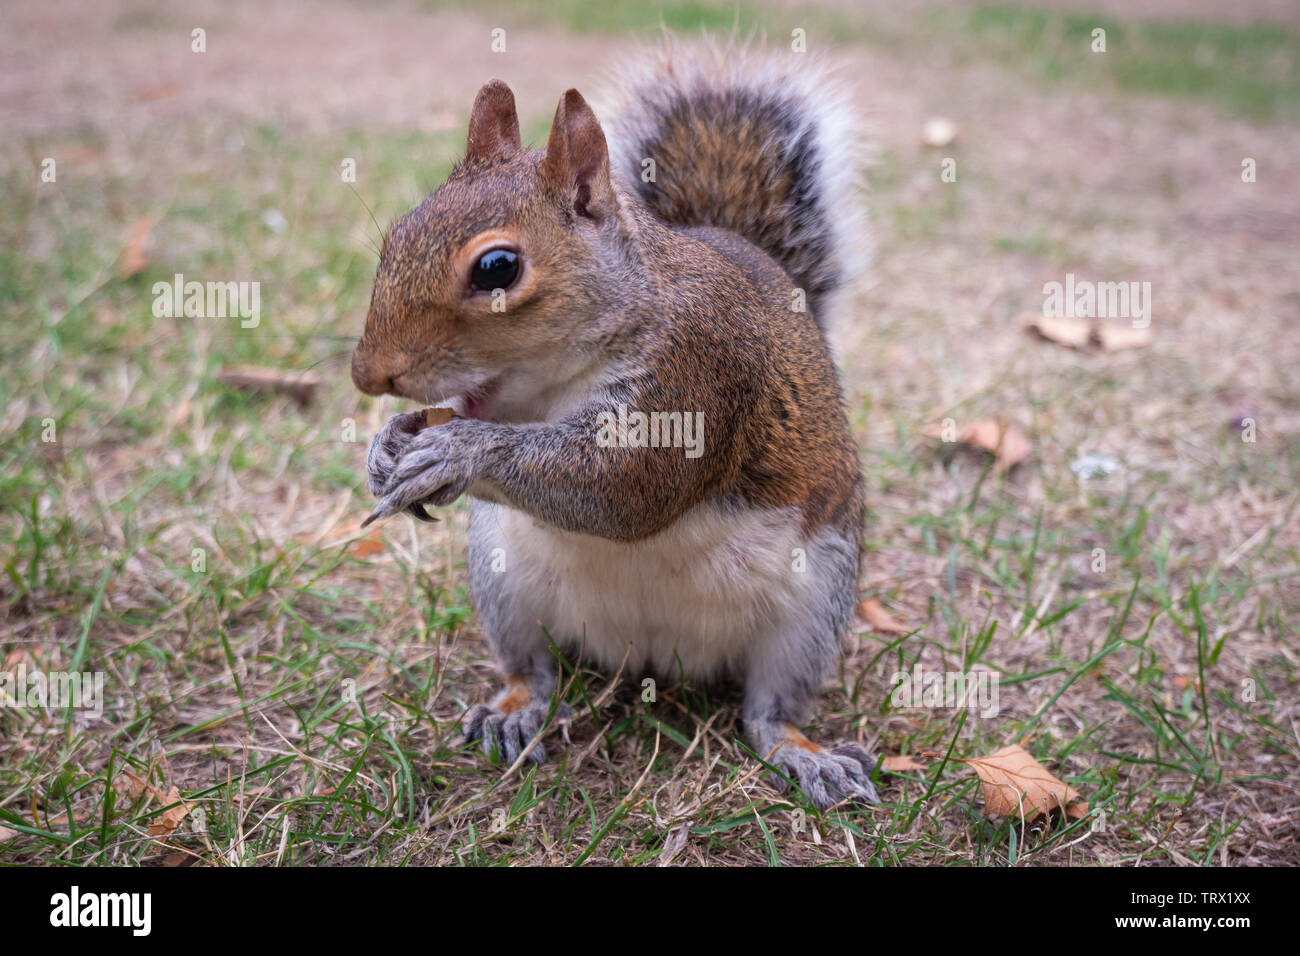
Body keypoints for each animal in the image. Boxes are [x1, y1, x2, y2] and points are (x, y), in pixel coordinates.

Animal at [351, 41, 880, 808]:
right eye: (397, 232)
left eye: (497, 267)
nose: (368, 374)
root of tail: (652, 654)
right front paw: (388, 442)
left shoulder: (695, 379)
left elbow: (623, 491)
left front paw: (454, 453)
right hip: (504, 583)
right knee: (532, 669)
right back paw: (516, 711)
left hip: (813, 608)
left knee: (768, 711)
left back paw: (806, 755)